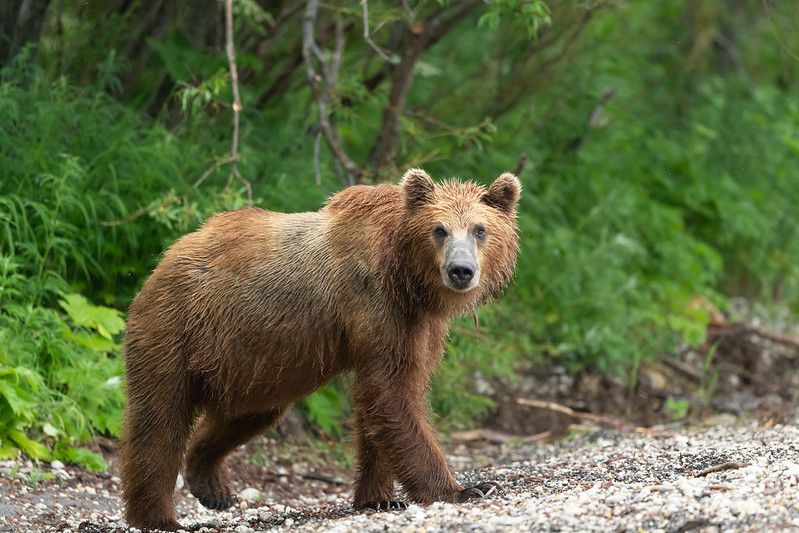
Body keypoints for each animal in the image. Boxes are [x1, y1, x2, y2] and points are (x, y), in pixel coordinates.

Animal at [117, 168, 520, 528]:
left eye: (480, 229)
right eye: (439, 230)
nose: (461, 270)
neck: (408, 277)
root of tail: (163, 260)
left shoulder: (417, 324)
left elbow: (384, 396)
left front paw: (378, 498)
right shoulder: (375, 301)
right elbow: (392, 392)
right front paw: (461, 489)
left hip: (256, 363)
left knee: (247, 413)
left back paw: (211, 484)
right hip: (175, 329)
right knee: (159, 421)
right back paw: (158, 517)